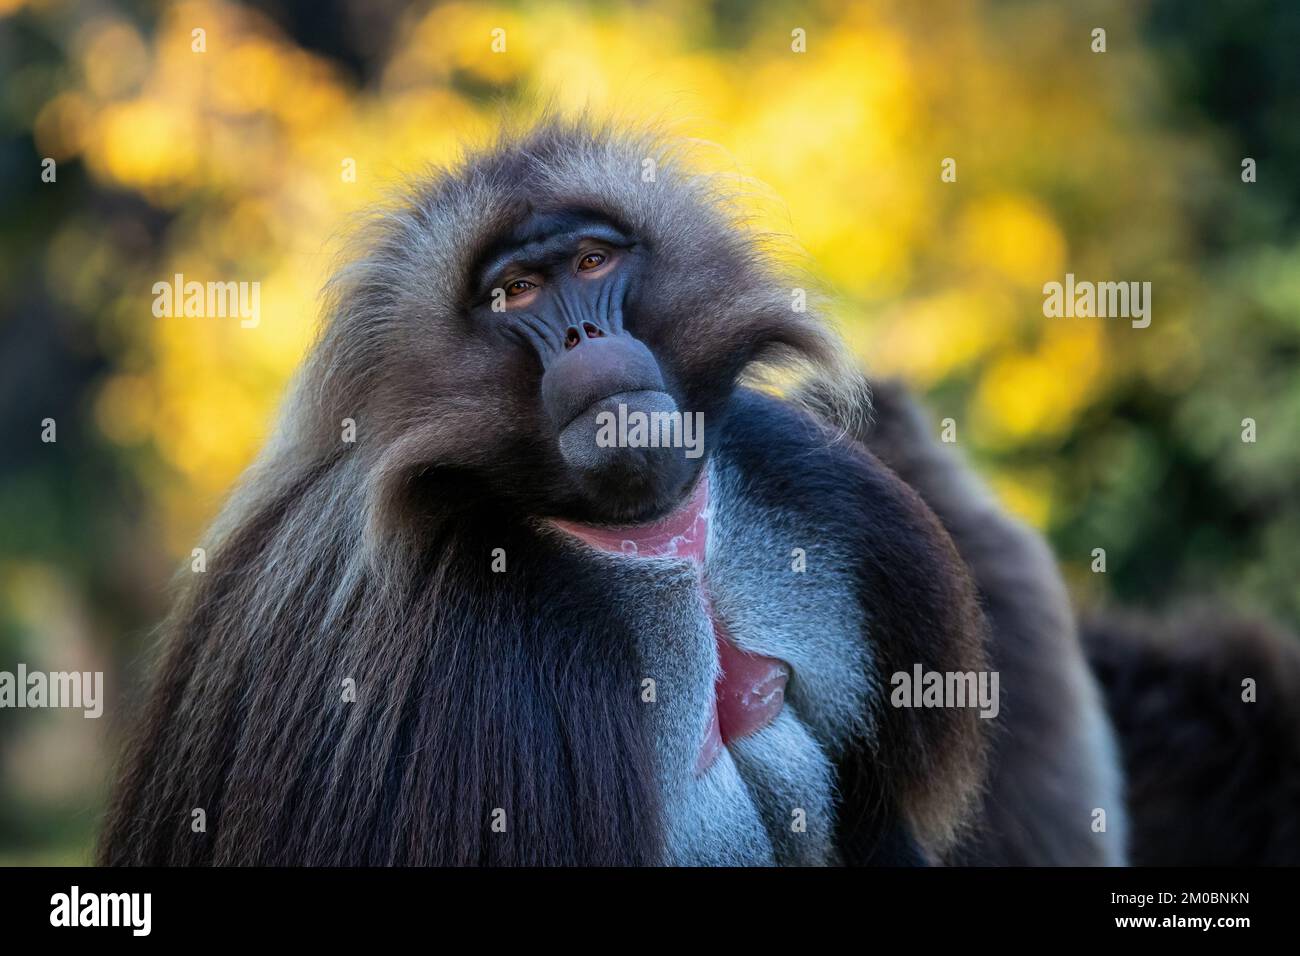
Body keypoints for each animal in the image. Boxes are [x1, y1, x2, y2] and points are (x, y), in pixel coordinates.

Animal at [100, 120, 1300, 866]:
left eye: (592, 261)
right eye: (516, 291)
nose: (585, 337)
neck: (635, 530)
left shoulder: (803, 485)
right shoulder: (456, 659)